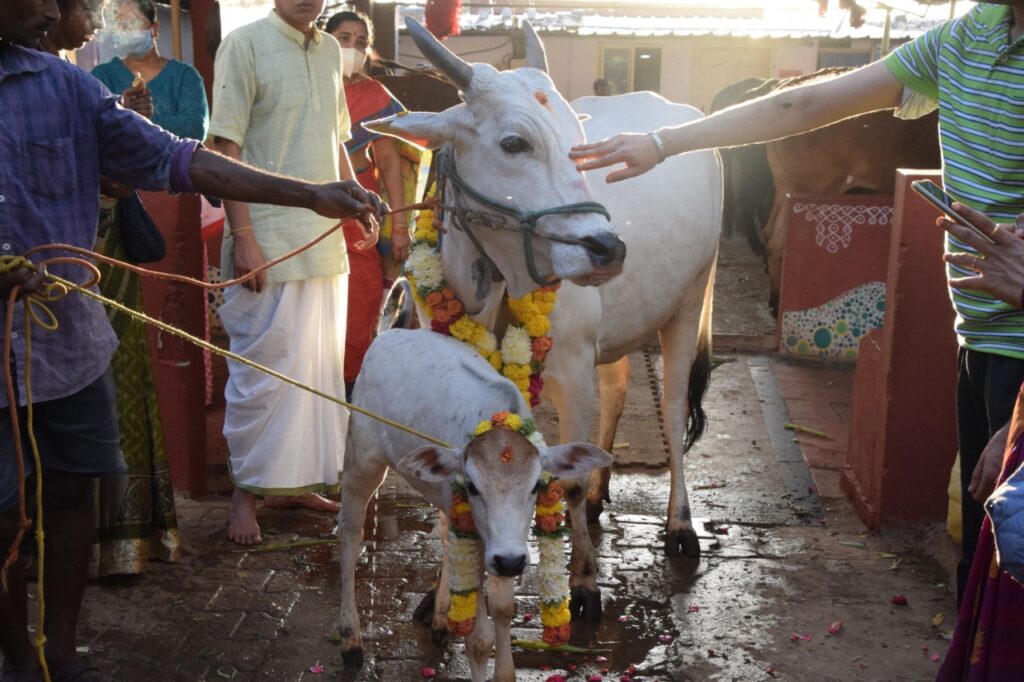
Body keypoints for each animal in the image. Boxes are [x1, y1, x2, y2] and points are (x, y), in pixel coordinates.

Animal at [338, 329, 611, 682]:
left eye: (536, 486)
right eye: (472, 486)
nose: (509, 561)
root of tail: (390, 333)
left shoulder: (505, 545)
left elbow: (504, 608)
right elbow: (480, 641)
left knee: (444, 537)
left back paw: (441, 620)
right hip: (361, 463)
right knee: (350, 538)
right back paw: (350, 637)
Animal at [361, 17, 720, 631]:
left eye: (577, 140)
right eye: (514, 142)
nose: (607, 248)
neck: (493, 285)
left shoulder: (571, 370)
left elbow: (565, 483)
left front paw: (584, 586)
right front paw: (440, 598)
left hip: (688, 302)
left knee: (674, 413)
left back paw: (679, 524)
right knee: (619, 387)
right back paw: (602, 495)